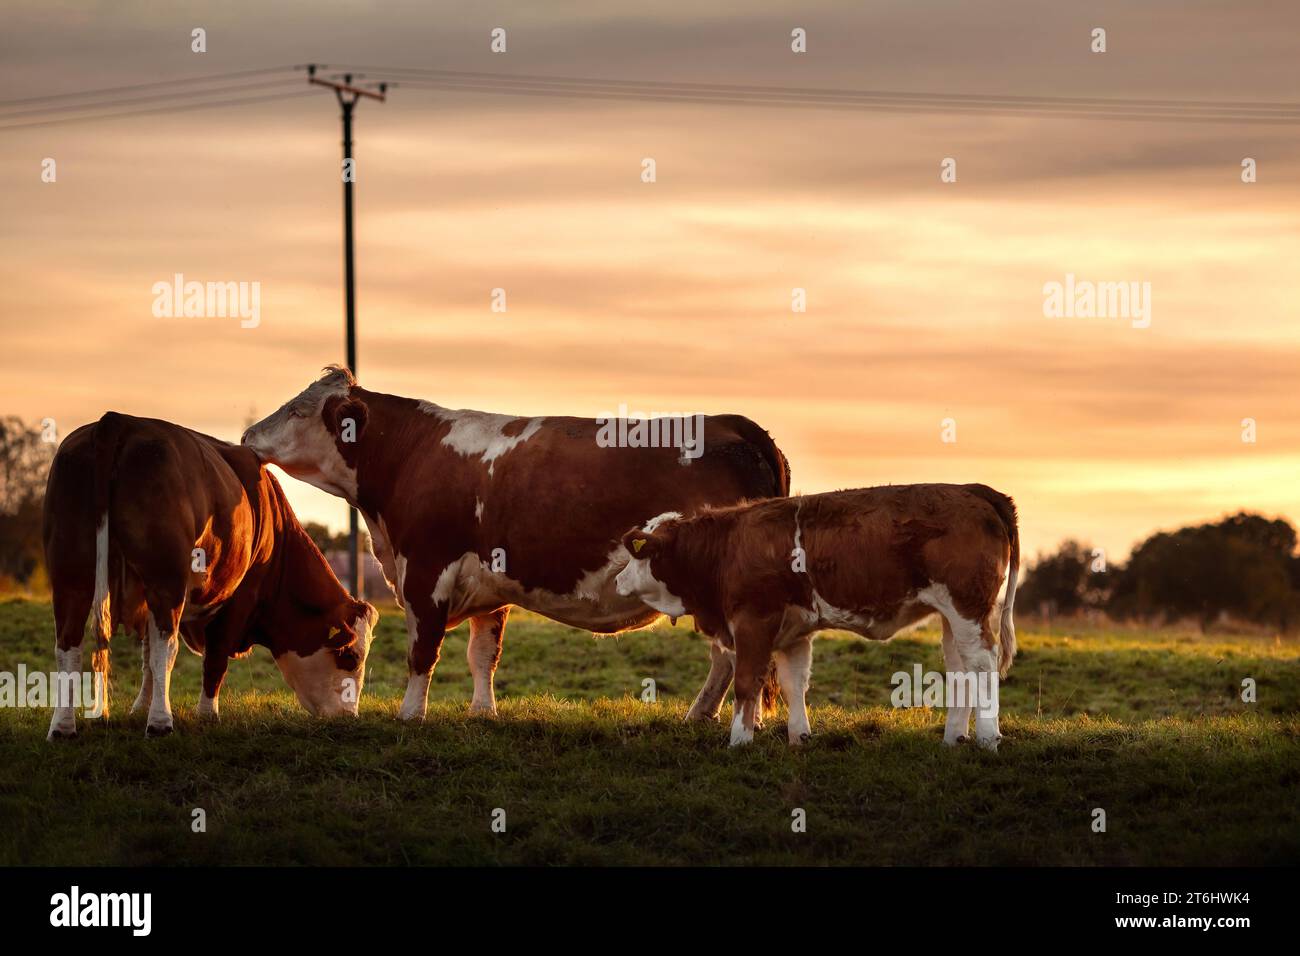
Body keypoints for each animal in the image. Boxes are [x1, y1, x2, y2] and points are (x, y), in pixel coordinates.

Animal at [43, 412, 378, 740]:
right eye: (350, 656)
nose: (349, 717)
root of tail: (116, 420)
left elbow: (147, 656)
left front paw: (140, 708)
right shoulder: (241, 595)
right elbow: (213, 657)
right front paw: (206, 715)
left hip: (71, 576)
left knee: (68, 645)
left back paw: (62, 726)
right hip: (166, 579)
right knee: (167, 646)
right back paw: (160, 723)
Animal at [240, 366, 790, 722]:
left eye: (298, 410)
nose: (247, 436)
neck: (411, 453)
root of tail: (731, 422)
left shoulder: (426, 569)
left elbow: (423, 650)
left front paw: (409, 714)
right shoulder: (488, 578)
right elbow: (483, 652)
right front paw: (483, 712)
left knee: (731, 656)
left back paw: (706, 716)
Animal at [614, 483, 1019, 750]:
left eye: (636, 554)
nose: (617, 580)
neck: (727, 549)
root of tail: (973, 490)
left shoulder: (753, 620)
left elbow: (746, 682)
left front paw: (739, 740)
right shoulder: (795, 630)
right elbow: (794, 683)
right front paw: (799, 736)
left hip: (968, 606)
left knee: (982, 664)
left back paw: (987, 738)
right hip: (952, 616)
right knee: (960, 670)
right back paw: (954, 737)